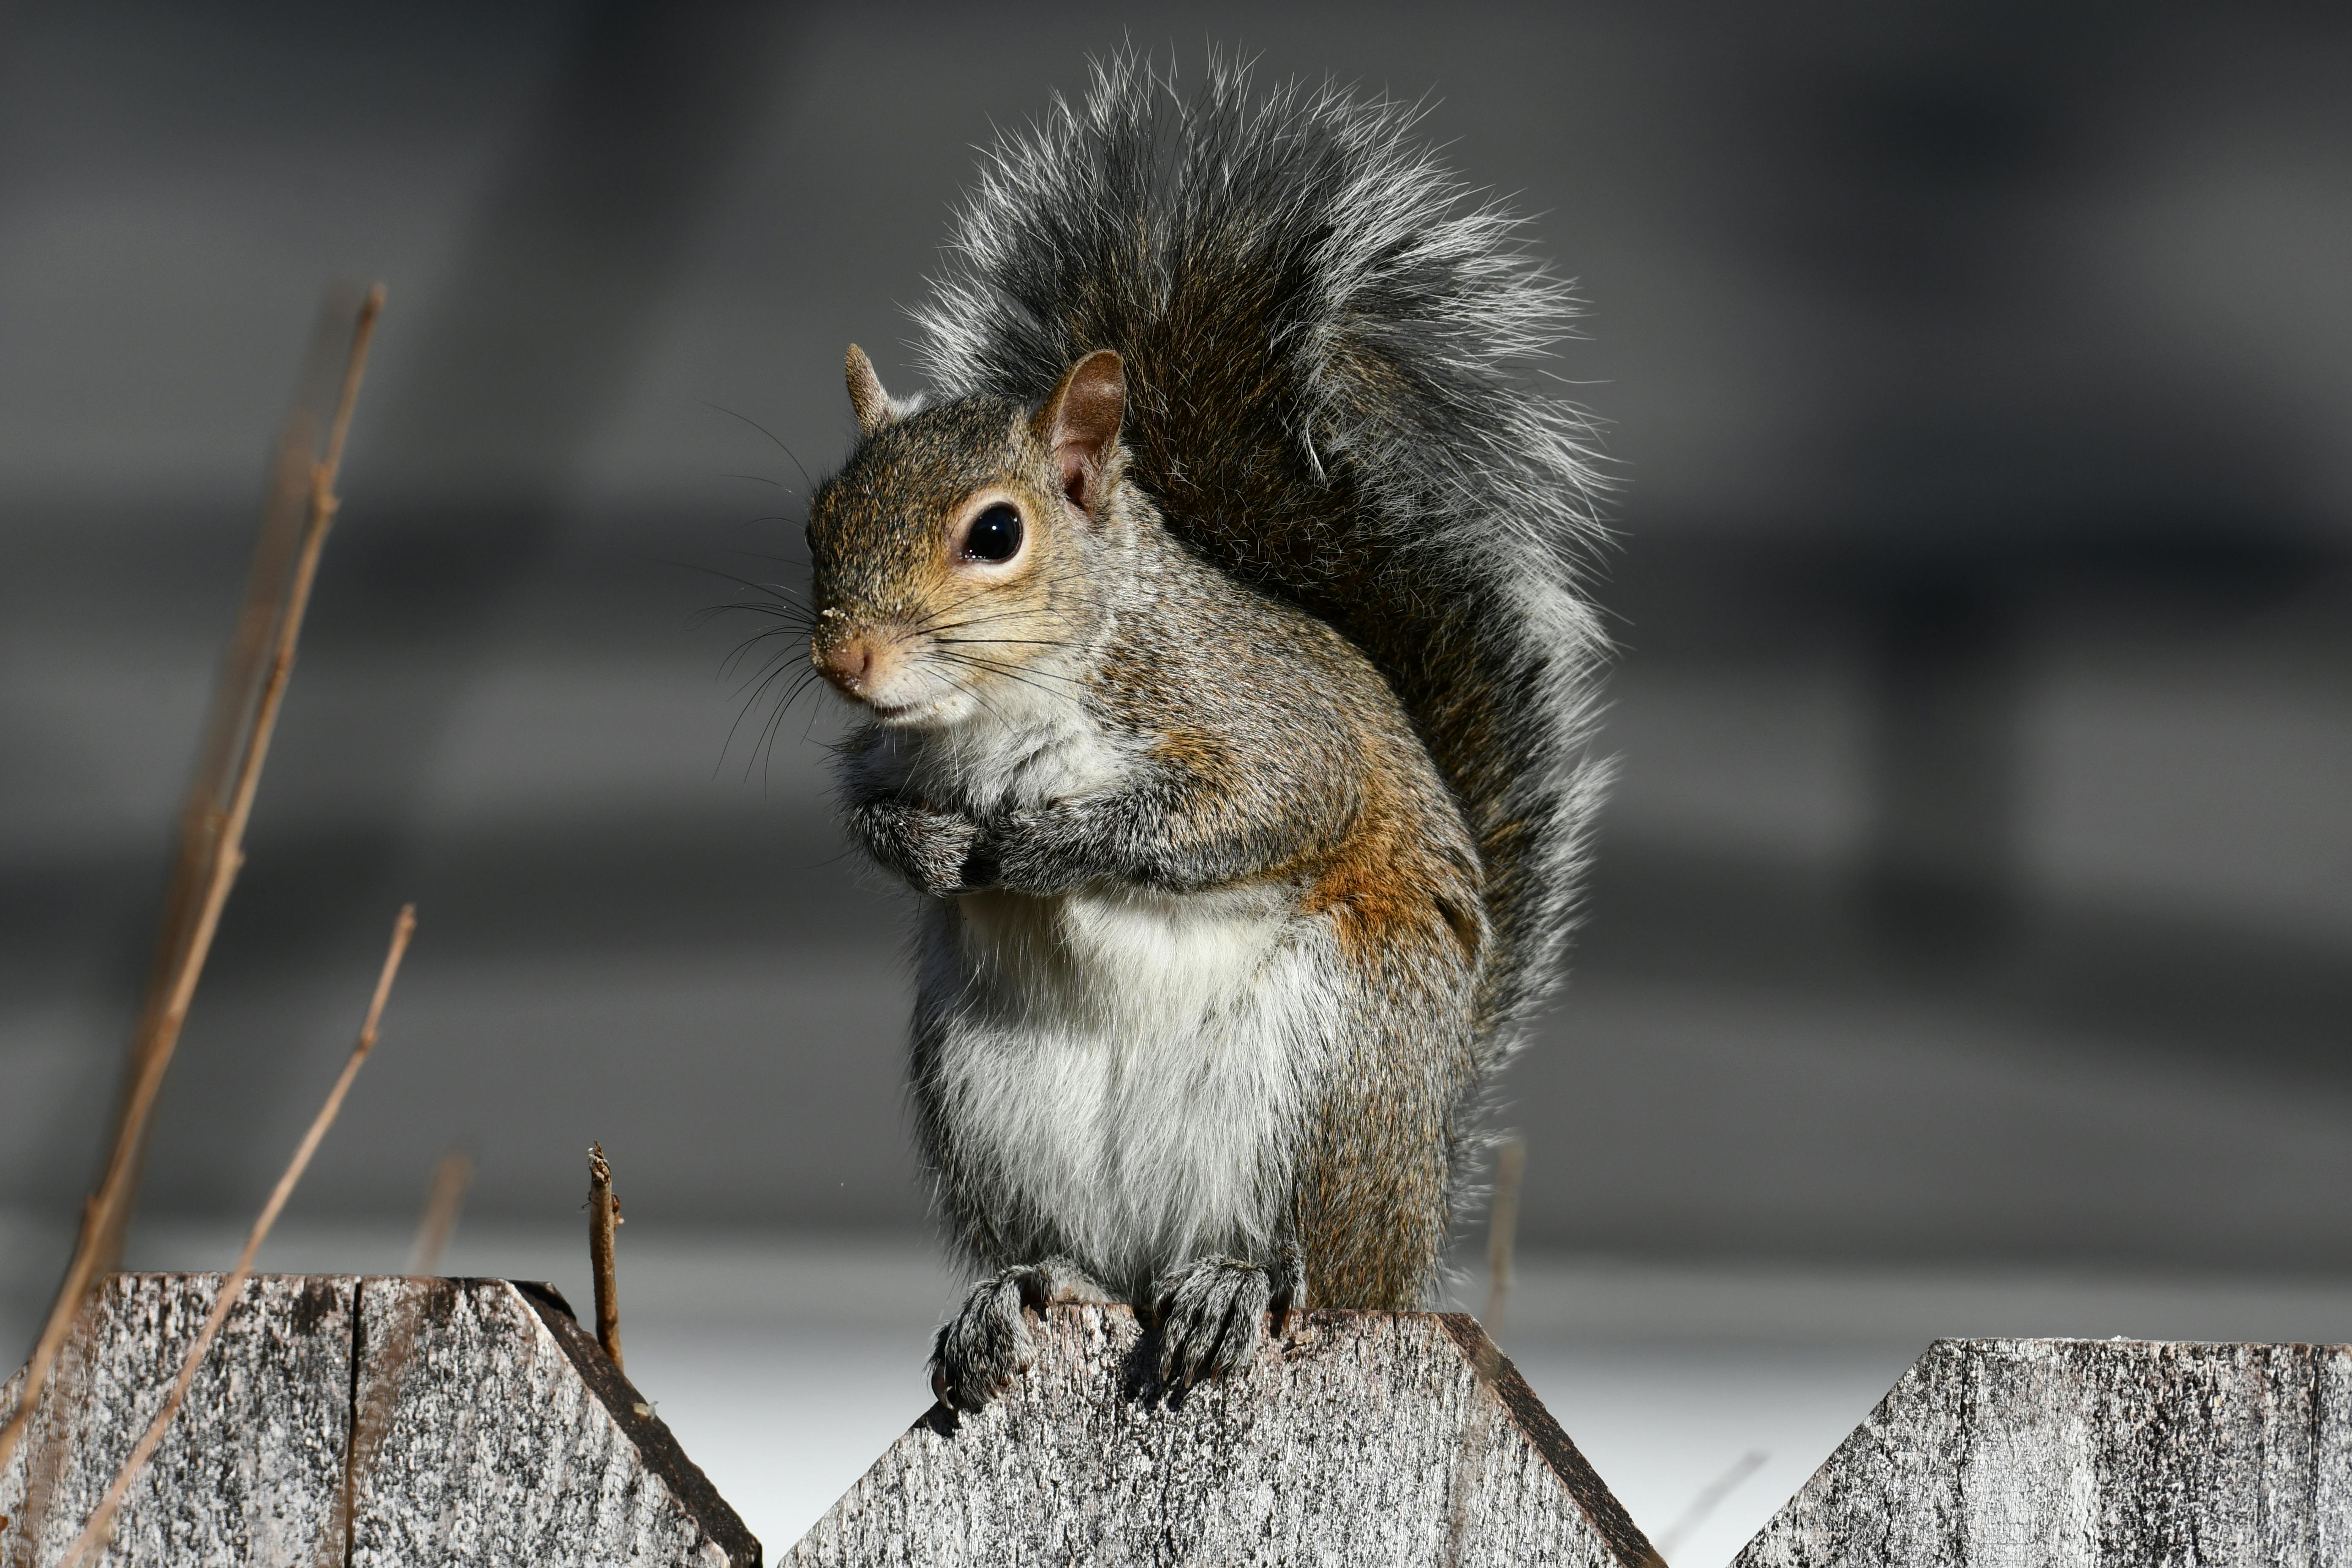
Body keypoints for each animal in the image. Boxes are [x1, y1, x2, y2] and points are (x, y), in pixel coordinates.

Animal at [798, 54, 1608, 1409]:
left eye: (997, 533)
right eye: (820, 517)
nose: (845, 660)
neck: (997, 712)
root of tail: (1418, 1227)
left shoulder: (1254, 717)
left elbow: (1261, 809)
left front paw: (1045, 846)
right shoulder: (888, 747)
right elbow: (862, 811)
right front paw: (923, 848)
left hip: (1336, 1077)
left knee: (1309, 1265)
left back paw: (1240, 1281)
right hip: (989, 1098)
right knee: (1075, 1259)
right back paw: (1026, 1288)